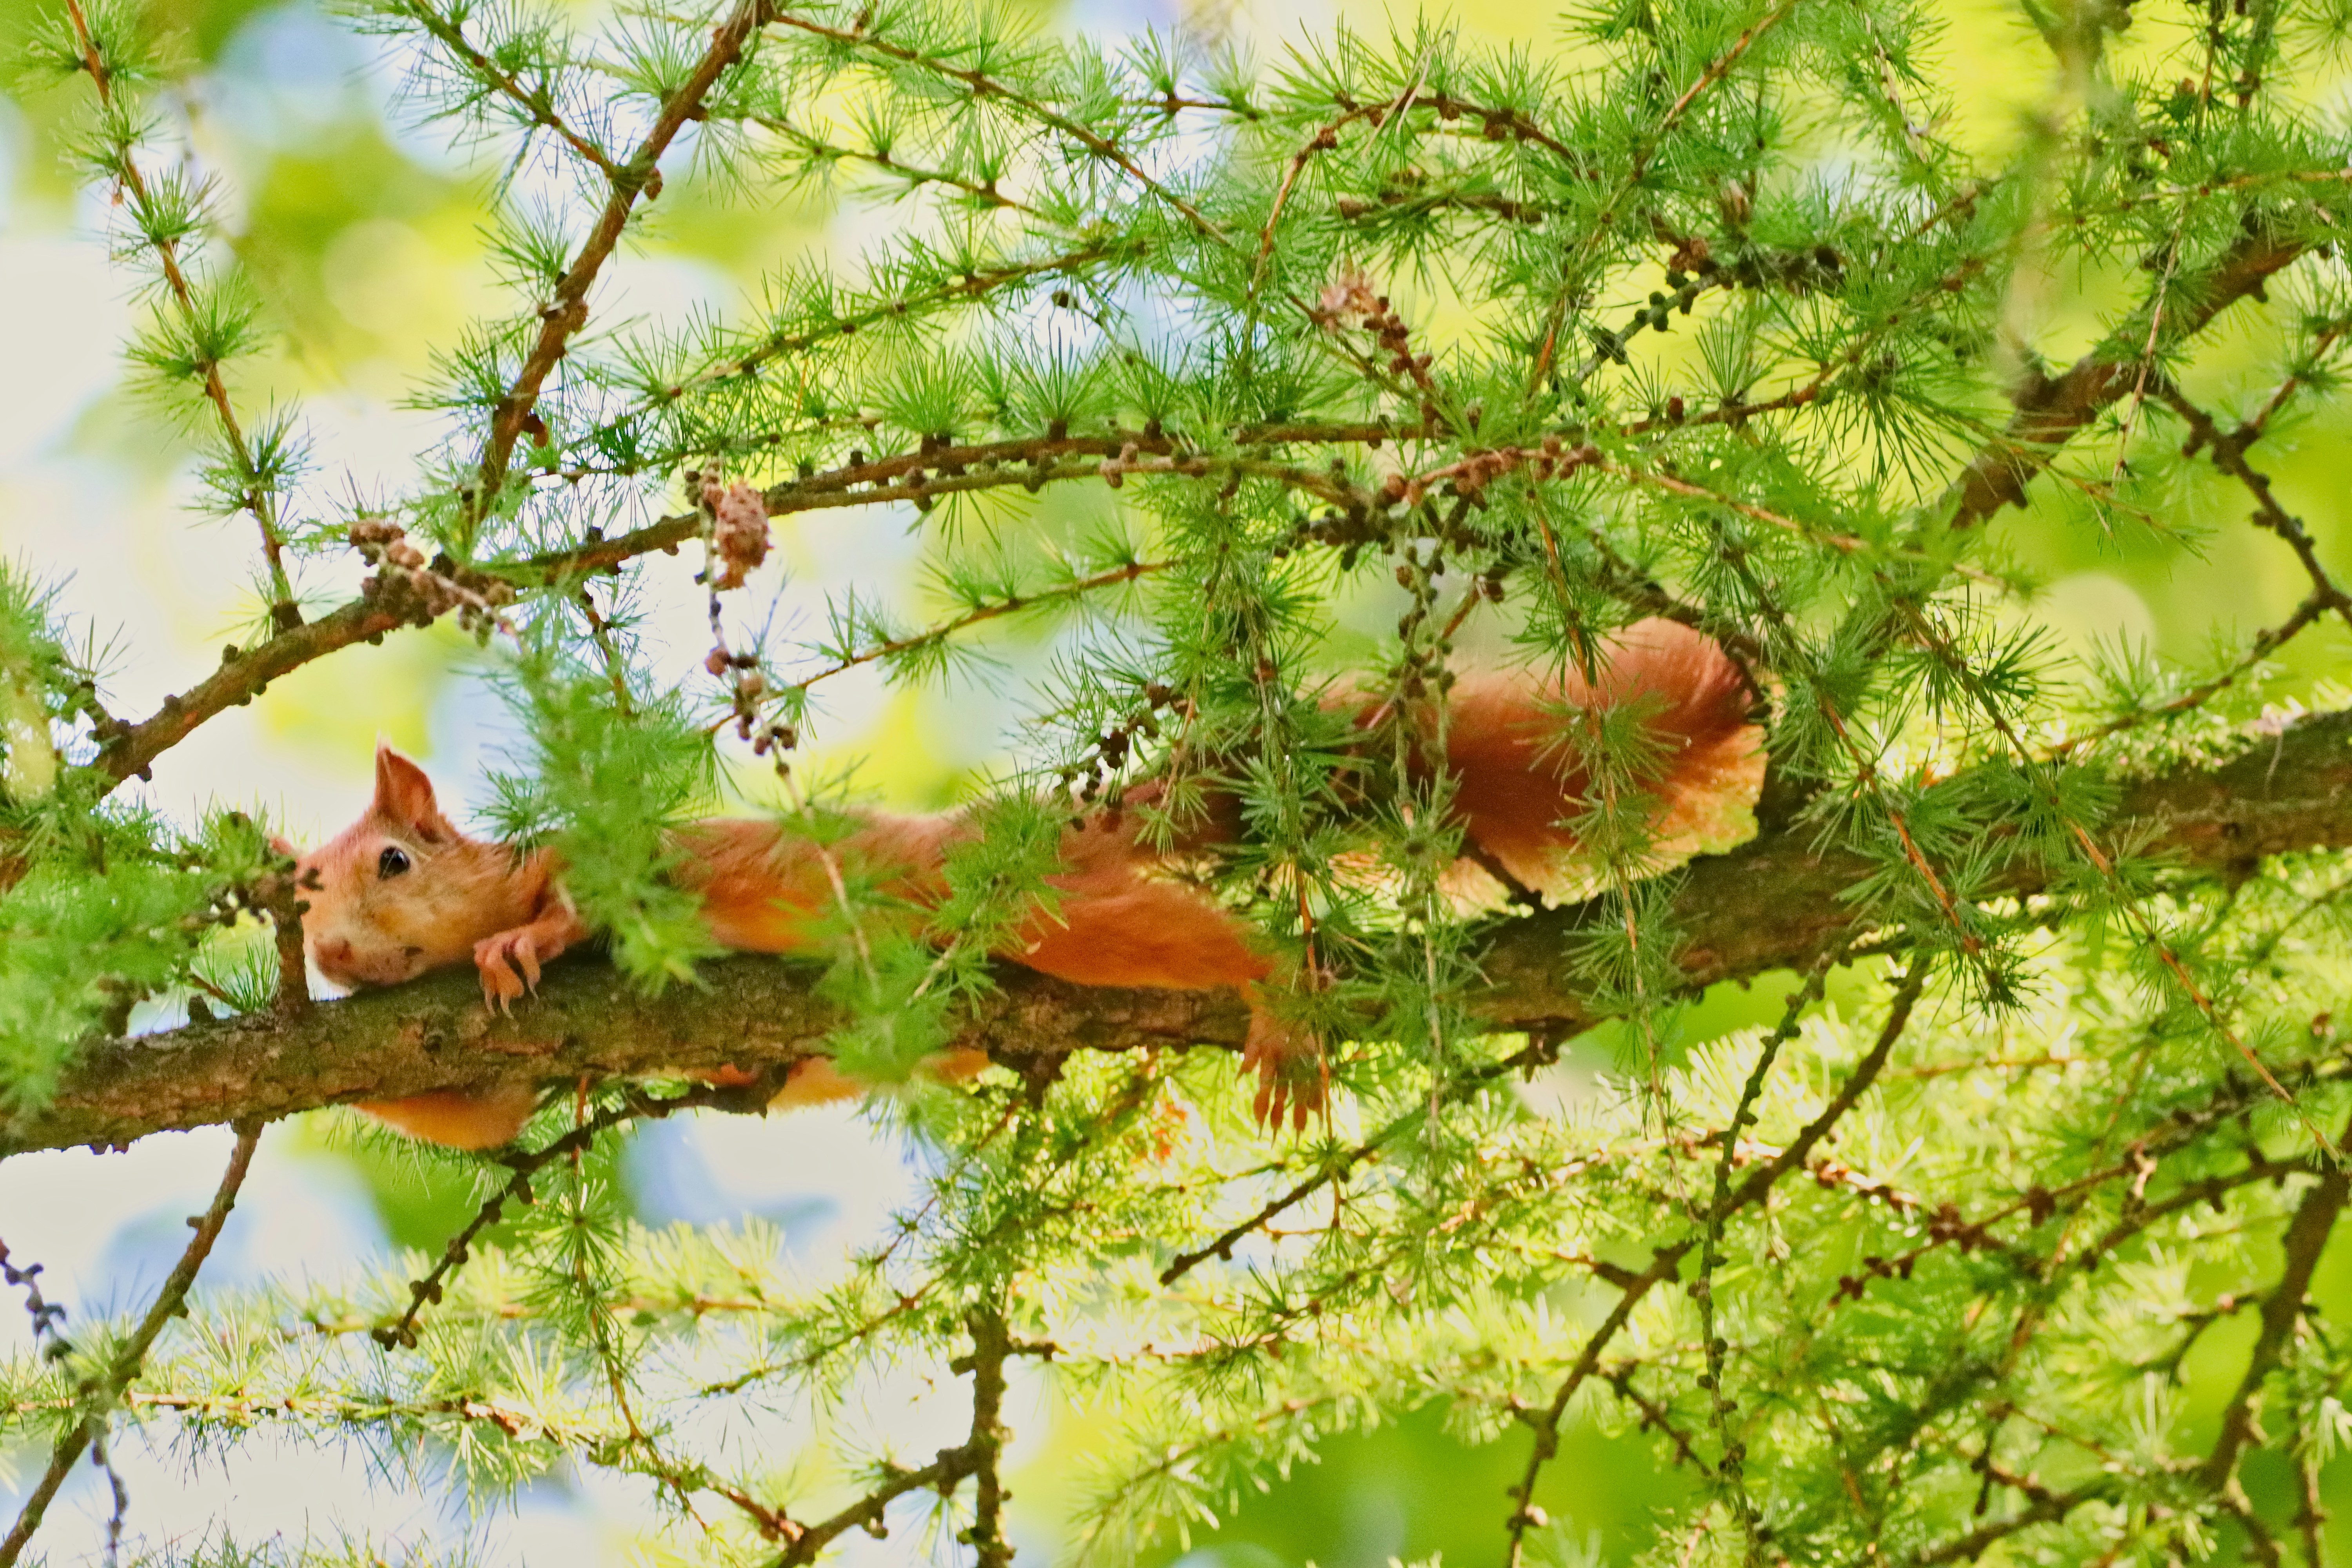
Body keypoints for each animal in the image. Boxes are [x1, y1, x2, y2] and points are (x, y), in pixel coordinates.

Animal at [280, 619, 1764, 1150]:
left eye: (395, 859)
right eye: (302, 892)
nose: (336, 956)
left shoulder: (640, 859)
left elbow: (606, 901)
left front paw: (521, 942)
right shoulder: (503, 1086)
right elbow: (477, 1121)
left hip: (1064, 912)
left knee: (1195, 940)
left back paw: (1277, 996)